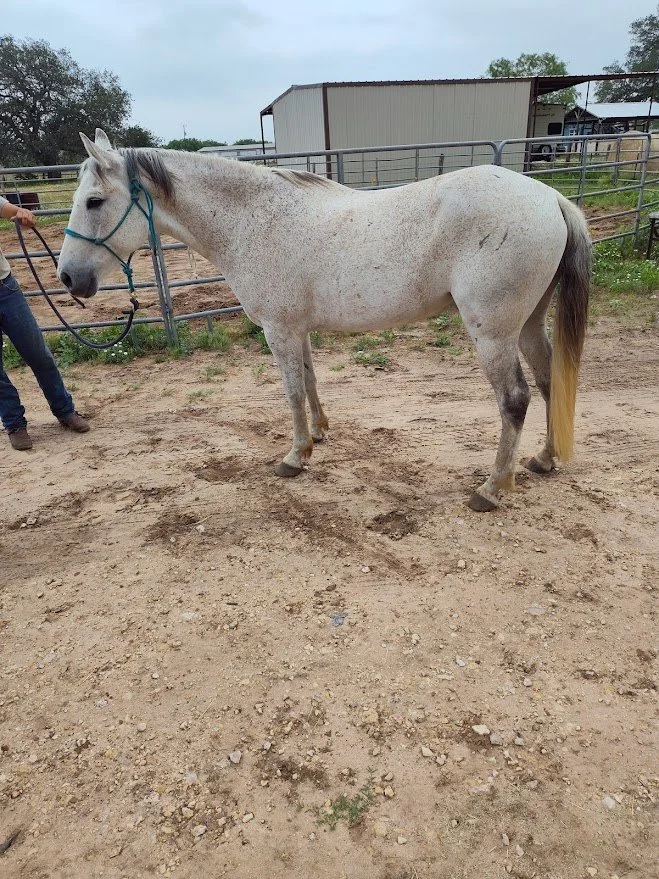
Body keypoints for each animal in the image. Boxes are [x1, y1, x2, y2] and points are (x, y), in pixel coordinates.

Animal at [58, 129, 590, 512]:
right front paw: (318, 435)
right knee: (550, 381)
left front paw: (294, 457)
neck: (252, 220)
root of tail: (551, 199)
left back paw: (493, 488)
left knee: (515, 400)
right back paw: (542, 460)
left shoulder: (278, 330)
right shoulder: (297, 330)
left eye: (94, 201)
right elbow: (311, 381)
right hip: (528, 324)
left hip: (494, 333)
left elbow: (291, 392)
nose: (67, 277)